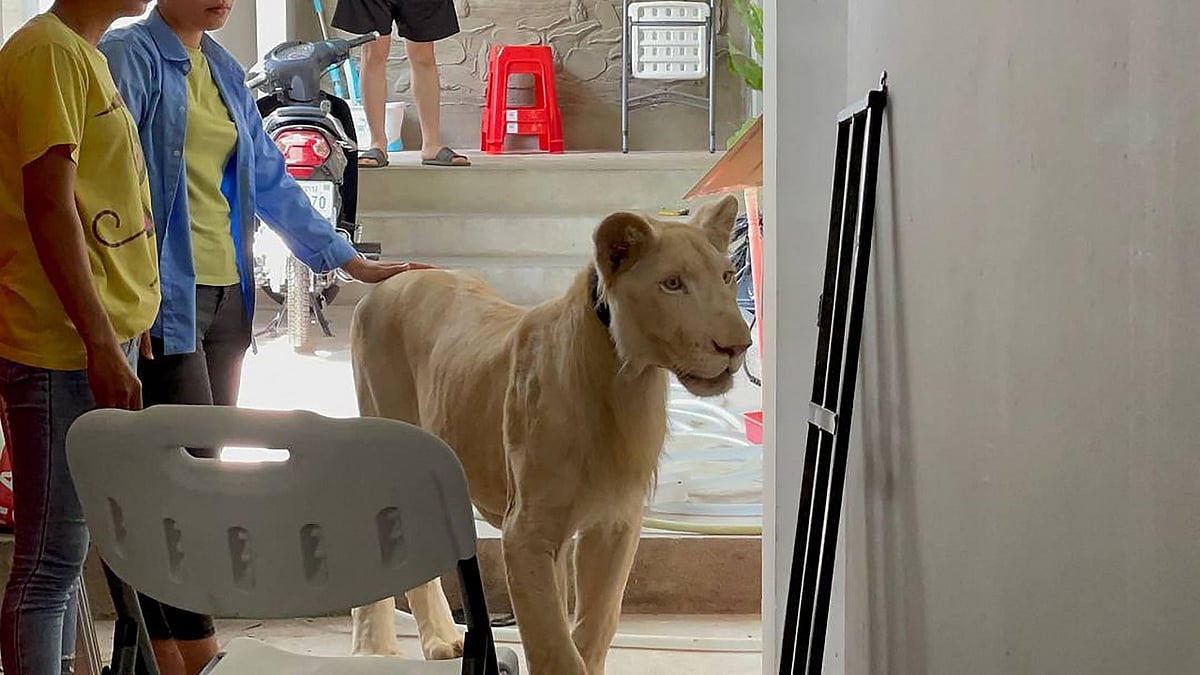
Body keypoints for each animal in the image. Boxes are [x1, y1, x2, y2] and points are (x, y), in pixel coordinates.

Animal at [347, 194, 751, 674]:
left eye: (726, 276)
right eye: (672, 284)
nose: (738, 346)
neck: (623, 380)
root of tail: (394, 280)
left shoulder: (614, 523)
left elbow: (595, 625)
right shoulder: (526, 533)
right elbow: (555, 646)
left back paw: (445, 640)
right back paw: (376, 650)